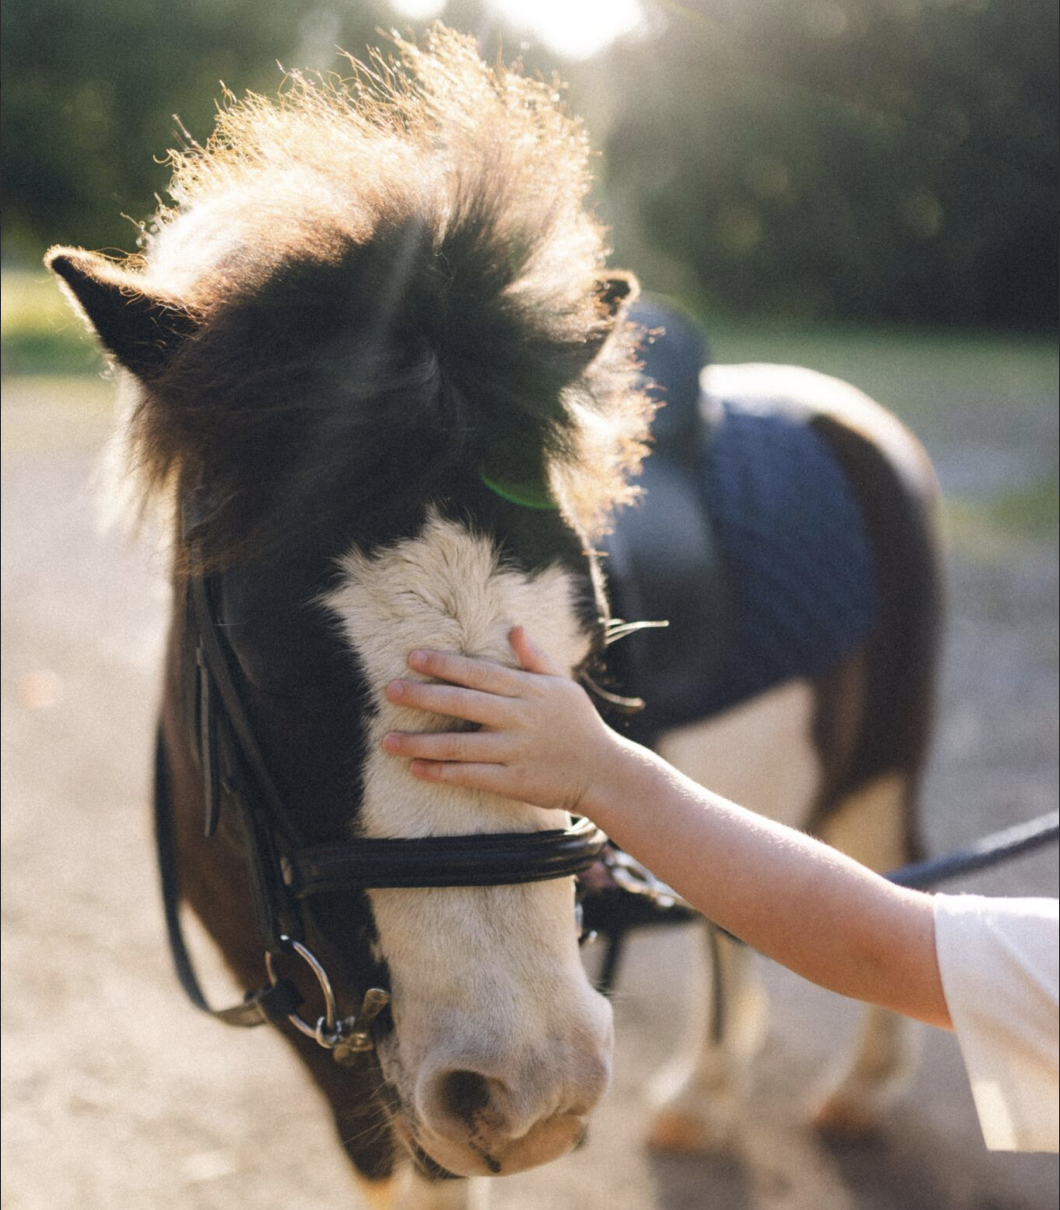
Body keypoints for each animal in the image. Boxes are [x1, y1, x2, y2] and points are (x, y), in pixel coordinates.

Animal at [47, 26, 941, 1207]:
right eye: (260, 654)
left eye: (591, 649)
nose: (532, 1083)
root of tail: (850, 414)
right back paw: (703, 1096)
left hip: (884, 761)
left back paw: (851, 1086)